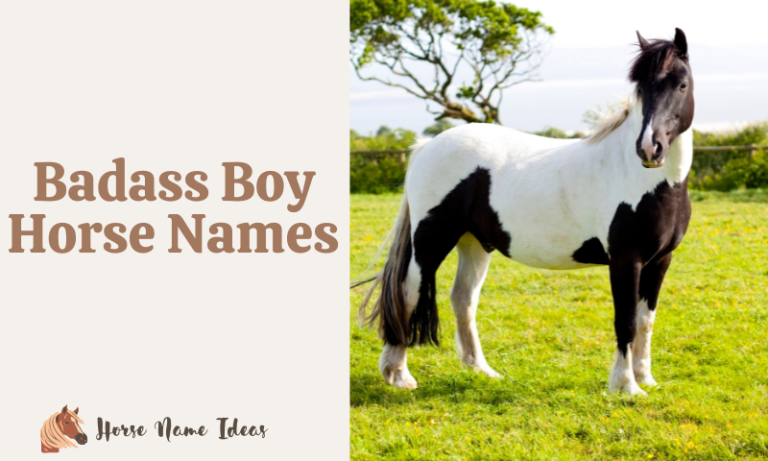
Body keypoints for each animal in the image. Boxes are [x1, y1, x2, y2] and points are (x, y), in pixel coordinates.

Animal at [358, 29, 694, 396]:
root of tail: (427, 146)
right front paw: (626, 386)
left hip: (473, 243)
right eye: (642, 89)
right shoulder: (625, 259)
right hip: (431, 240)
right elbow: (627, 319)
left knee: (463, 299)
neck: (650, 183)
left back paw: (480, 369)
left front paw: (646, 378)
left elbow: (646, 319)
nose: (649, 148)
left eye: (681, 84)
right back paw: (398, 374)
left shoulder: (660, 260)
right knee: (409, 292)